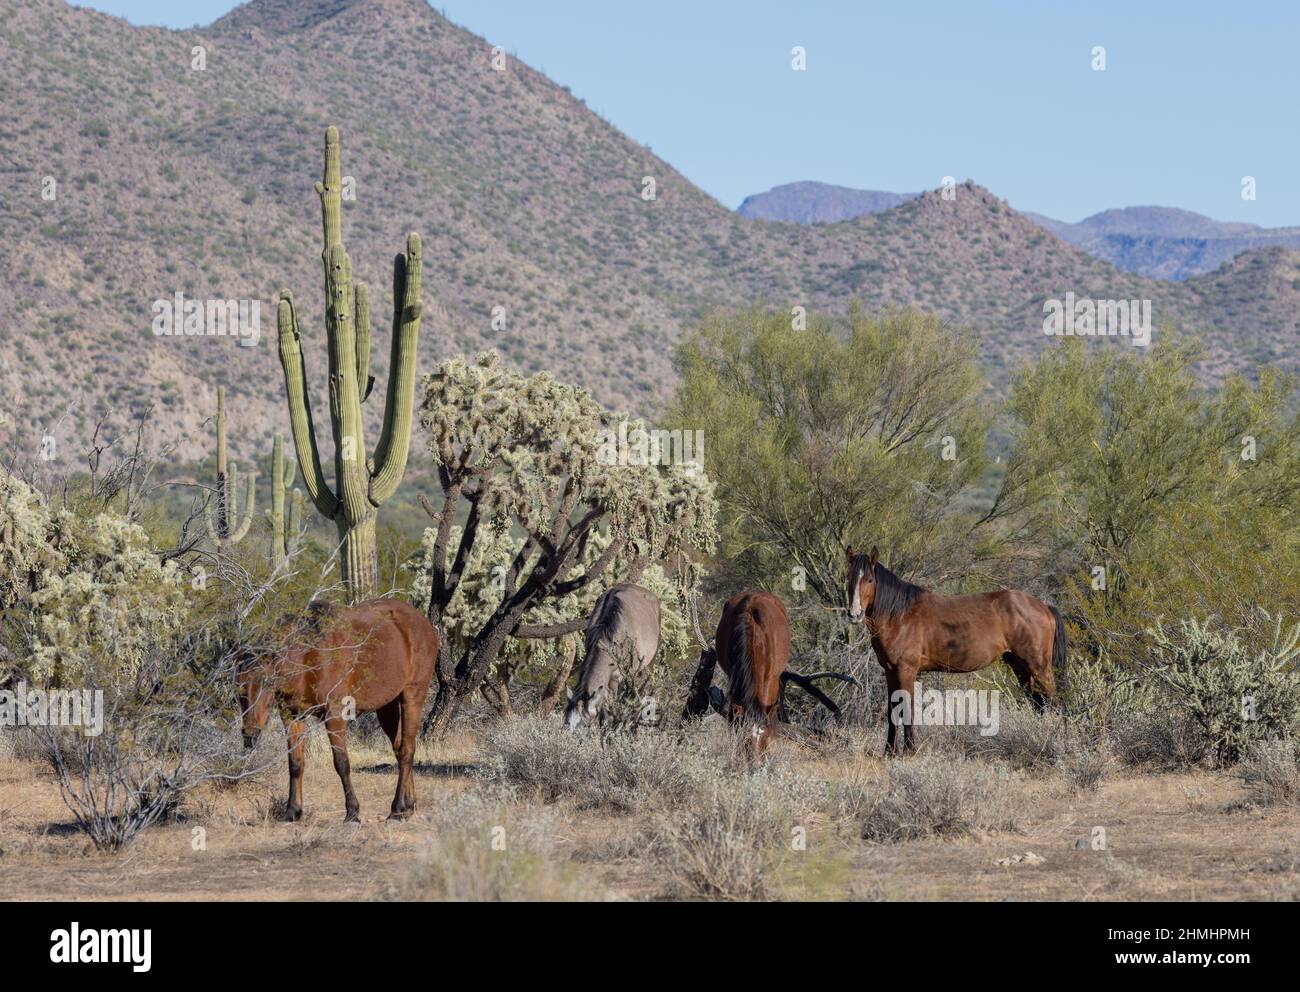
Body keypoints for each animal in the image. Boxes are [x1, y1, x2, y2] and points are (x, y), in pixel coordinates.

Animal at [237, 598, 439, 822]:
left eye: (267, 682)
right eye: (239, 688)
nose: (249, 733)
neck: (309, 656)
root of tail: (425, 624)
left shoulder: (334, 715)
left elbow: (341, 763)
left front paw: (352, 812)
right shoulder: (293, 716)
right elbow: (296, 763)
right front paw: (292, 811)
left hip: (412, 697)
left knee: (406, 751)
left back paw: (396, 808)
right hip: (387, 707)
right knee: (399, 749)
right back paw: (408, 805)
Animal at [845, 546, 1067, 754]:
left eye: (870, 579)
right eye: (849, 578)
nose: (854, 614)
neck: (900, 616)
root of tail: (1044, 606)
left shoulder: (906, 670)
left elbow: (907, 710)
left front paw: (910, 750)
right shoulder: (890, 670)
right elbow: (892, 710)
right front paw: (889, 752)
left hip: (1039, 668)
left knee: (1055, 703)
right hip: (1021, 668)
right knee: (1039, 704)